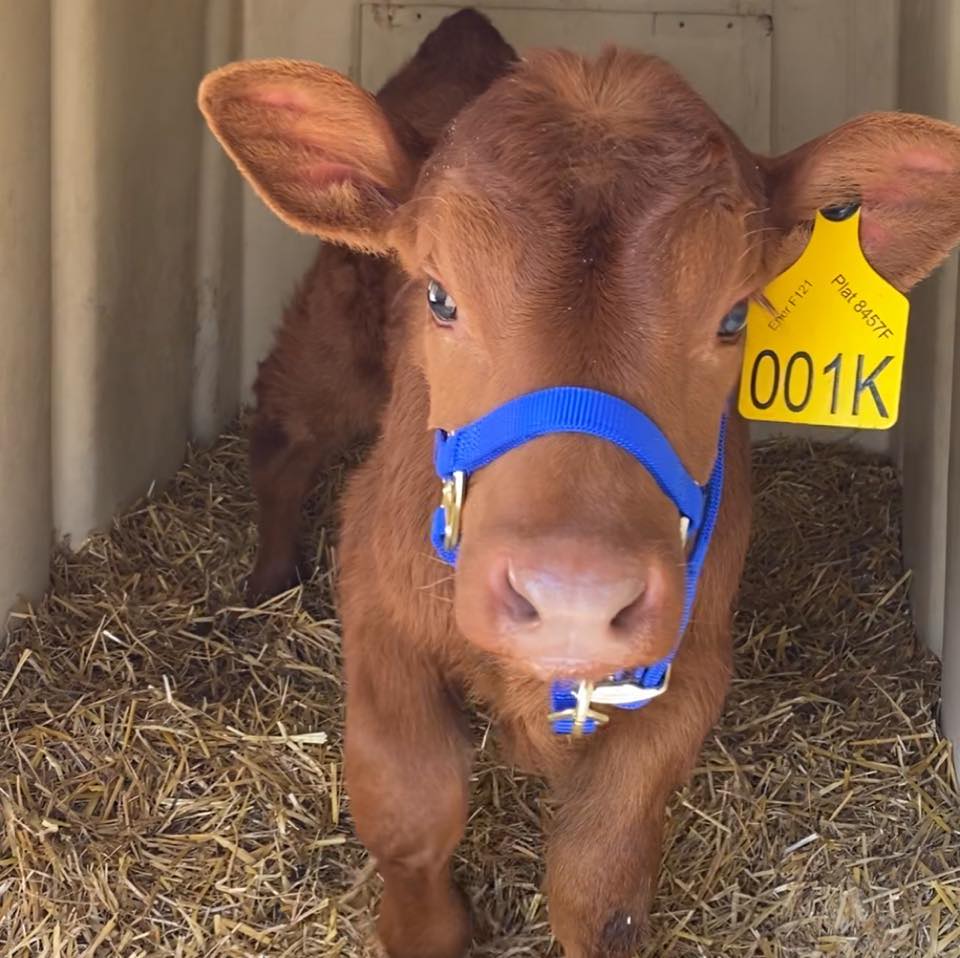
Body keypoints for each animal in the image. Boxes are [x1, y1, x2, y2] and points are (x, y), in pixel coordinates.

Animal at [199, 8, 960, 956]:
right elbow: (409, 803)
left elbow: (600, 882)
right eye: (439, 296)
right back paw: (266, 578)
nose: (573, 596)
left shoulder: (690, 663)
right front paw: (425, 928)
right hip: (330, 345)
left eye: (734, 316)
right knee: (282, 433)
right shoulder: (375, 595)